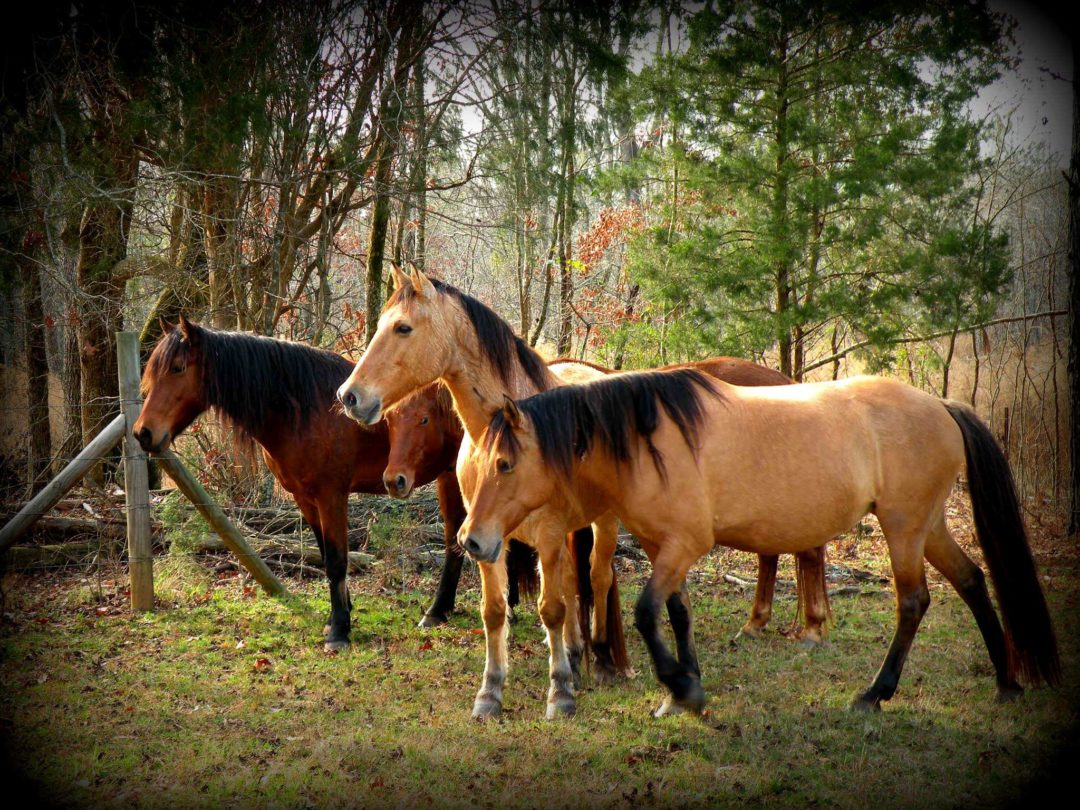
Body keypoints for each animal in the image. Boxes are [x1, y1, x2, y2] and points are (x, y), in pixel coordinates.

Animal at [132, 316, 531, 647]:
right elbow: (325, 556)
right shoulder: (304, 498)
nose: (142, 433)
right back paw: (464, 608)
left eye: (178, 368)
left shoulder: (331, 495)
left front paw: (340, 630)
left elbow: (338, 559)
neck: (304, 411)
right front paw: (339, 616)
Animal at [459, 369, 1060, 716]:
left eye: (505, 464)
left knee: (914, 602)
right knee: (972, 581)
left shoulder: (684, 545)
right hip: (928, 526)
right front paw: (683, 690)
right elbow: (676, 613)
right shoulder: (661, 546)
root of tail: (942, 407)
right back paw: (1006, 683)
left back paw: (875, 693)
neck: (646, 439)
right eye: (480, 463)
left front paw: (682, 688)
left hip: (904, 528)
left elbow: (647, 612)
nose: (472, 541)